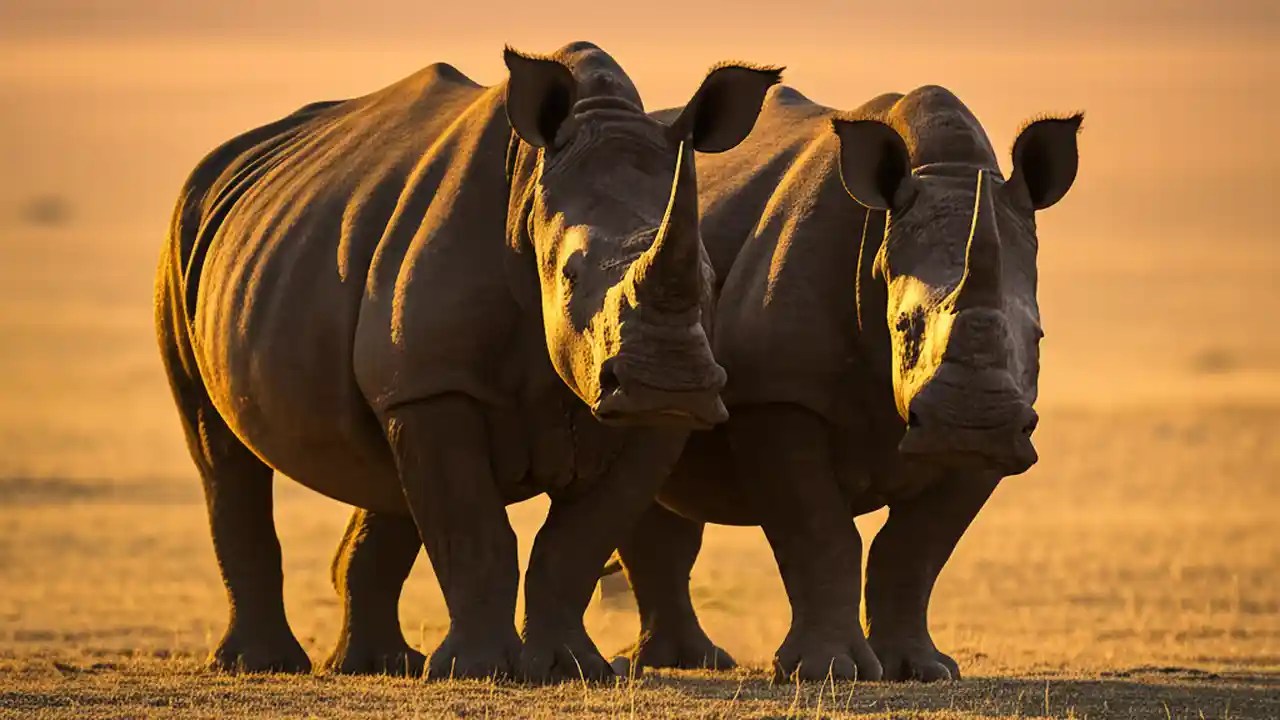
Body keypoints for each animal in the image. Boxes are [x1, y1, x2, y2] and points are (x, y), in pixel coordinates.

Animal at [154, 41, 779, 682]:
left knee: (384, 465)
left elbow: (579, 540)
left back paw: (376, 665)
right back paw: (260, 664)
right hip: (184, 232)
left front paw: (569, 669)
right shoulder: (437, 386)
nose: (669, 385)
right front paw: (477, 670)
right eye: (571, 273)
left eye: (708, 274)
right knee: (219, 449)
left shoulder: (646, 422)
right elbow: (474, 529)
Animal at [608, 85, 1081, 681]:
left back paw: (690, 661)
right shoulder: (778, 392)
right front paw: (824, 671)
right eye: (904, 325)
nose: (970, 425)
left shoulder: (1007, 431)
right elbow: (820, 532)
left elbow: (917, 547)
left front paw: (920, 670)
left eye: (1037, 336)